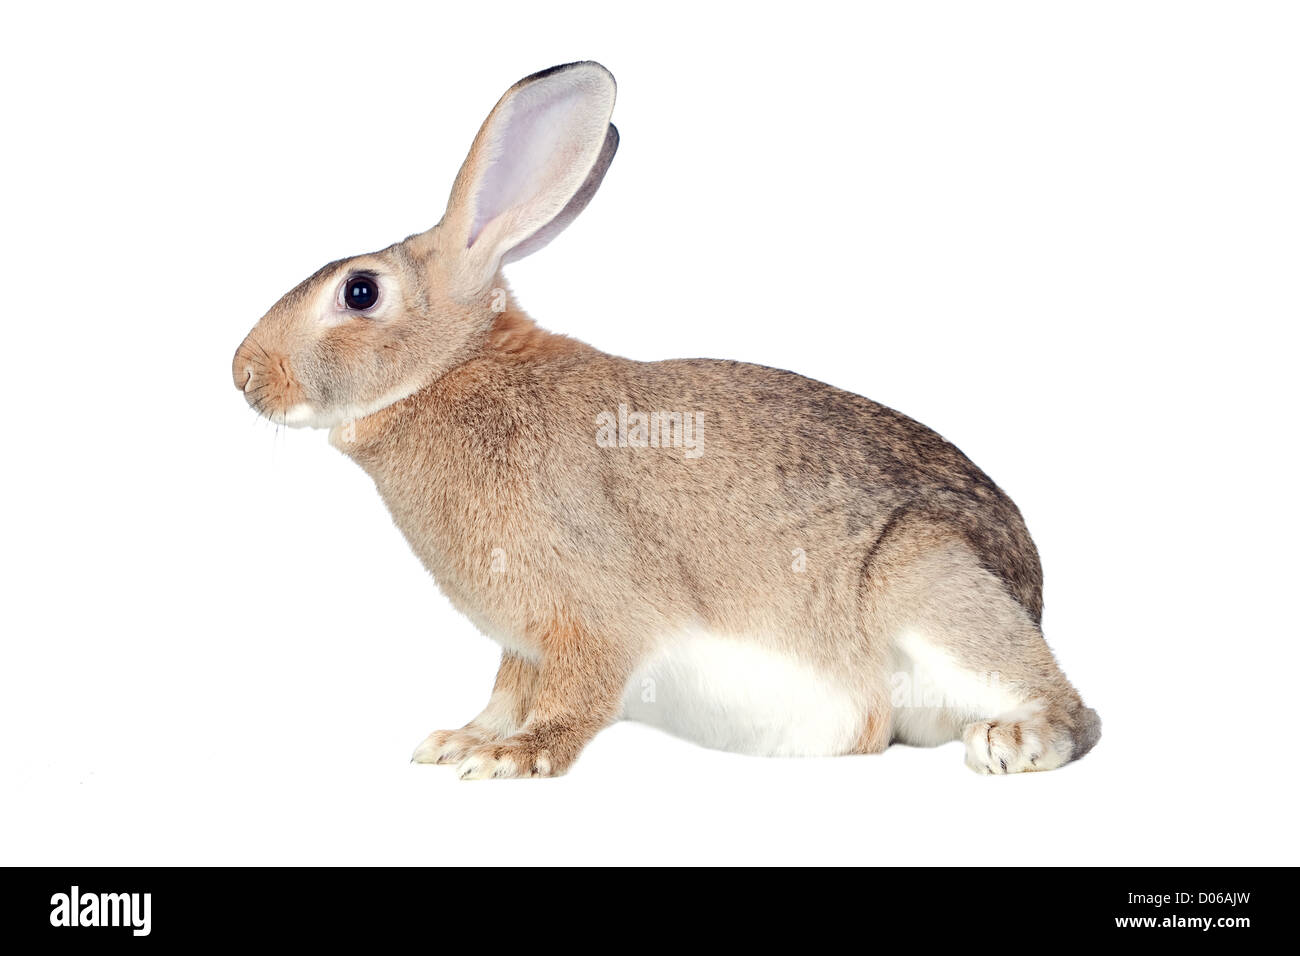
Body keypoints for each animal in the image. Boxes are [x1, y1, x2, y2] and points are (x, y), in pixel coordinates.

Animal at [232, 61, 1100, 778]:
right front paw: (460, 742)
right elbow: (507, 692)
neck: (452, 372)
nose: (242, 374)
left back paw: (1013, 742)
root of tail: (1032, 593)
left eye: (360, 292)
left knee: (1072, 713)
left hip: (927, 581)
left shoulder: (589, 616)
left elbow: (572, 698)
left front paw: (512, 758)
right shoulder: (522, 645)